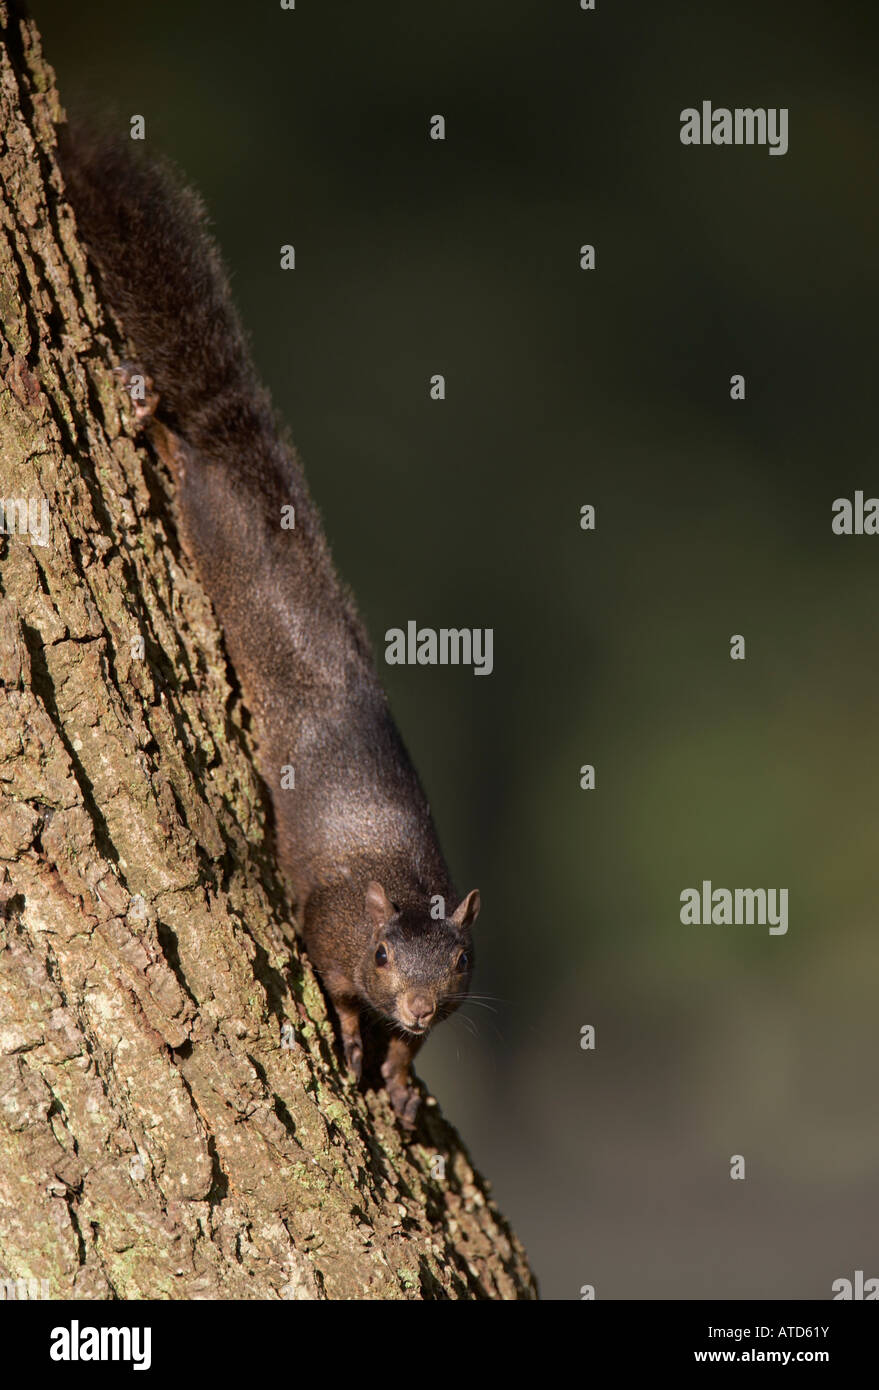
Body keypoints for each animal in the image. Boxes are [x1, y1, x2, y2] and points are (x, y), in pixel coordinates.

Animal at [57, 126, 480, 1129]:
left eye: (457, 962)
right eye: (381, 953)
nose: (413, 1001)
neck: (395, 891)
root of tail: (272, 514)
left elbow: (414, 1051)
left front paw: (400, 1078)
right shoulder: (327, 936)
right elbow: (339, 1000)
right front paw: (353, 1042)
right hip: (208, 522)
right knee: (184, 458)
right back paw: (151, 421)